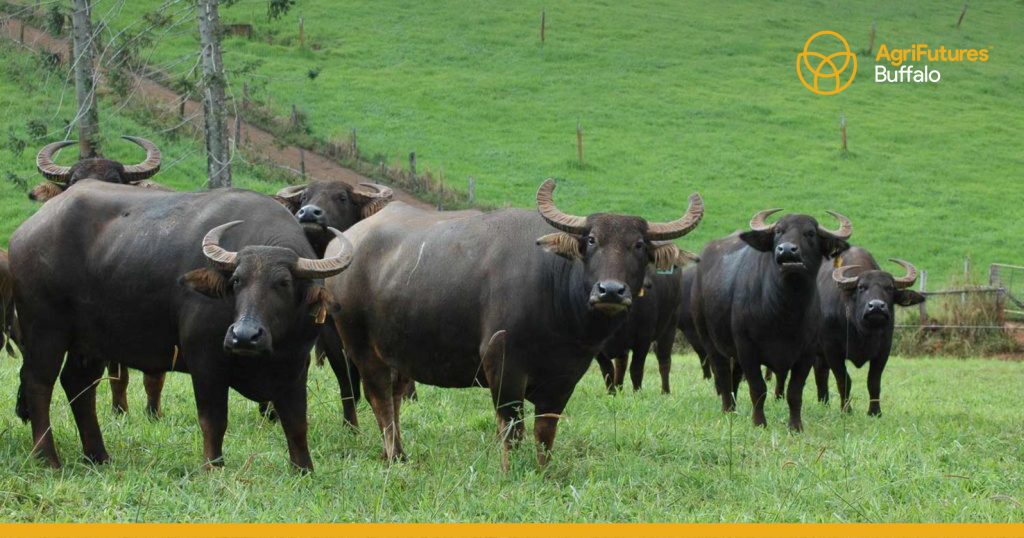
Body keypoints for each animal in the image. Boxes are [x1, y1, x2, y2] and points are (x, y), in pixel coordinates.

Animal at [10, 181, 351, 470]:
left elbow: (296, 422)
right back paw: (47, 458)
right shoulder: (205, 361)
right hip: (45, 329)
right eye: (236, 281)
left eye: (283, 284)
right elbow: (214, 419)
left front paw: (303, 468)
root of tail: (27, 231)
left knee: (79, 385)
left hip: (90, 343)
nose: (243, 336)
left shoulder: (295, 366)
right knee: (39, 384)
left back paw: (98, 456)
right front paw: (213, 466)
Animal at [325, 179, 703, 470]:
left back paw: (399, 453)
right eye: (592, 241)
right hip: (361, 347)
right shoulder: (502, 364)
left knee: (395, 397)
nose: (610, 290)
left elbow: (545, 431)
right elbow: (511, 427)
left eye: (638, 245)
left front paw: (544, 470)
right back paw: (393, 456)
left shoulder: (566, 375)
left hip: (399, 352)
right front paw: (509, 470)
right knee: (380, 399)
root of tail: (346, 243)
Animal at [692, 209, 851, 430]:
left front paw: (795, 426)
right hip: (709, 339)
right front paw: (759, 422)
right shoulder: (747, 348)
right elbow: (758, 388)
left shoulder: (807, 353)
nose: (787, 250)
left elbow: (794, 392)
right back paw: (728, 410)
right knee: (722, 374)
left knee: (734, 376)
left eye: (810, 233)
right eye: (778, 231)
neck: (785, 313)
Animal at [814, 247, 923, 415]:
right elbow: (844, 380)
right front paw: (846, 410)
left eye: (889, 288)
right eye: (861, 287)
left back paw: (823, 404)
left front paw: (875, 412)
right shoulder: (832, 350)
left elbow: (873, 381)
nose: (877, 306)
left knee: (821, 373)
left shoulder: (883, 351)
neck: (862, 332)